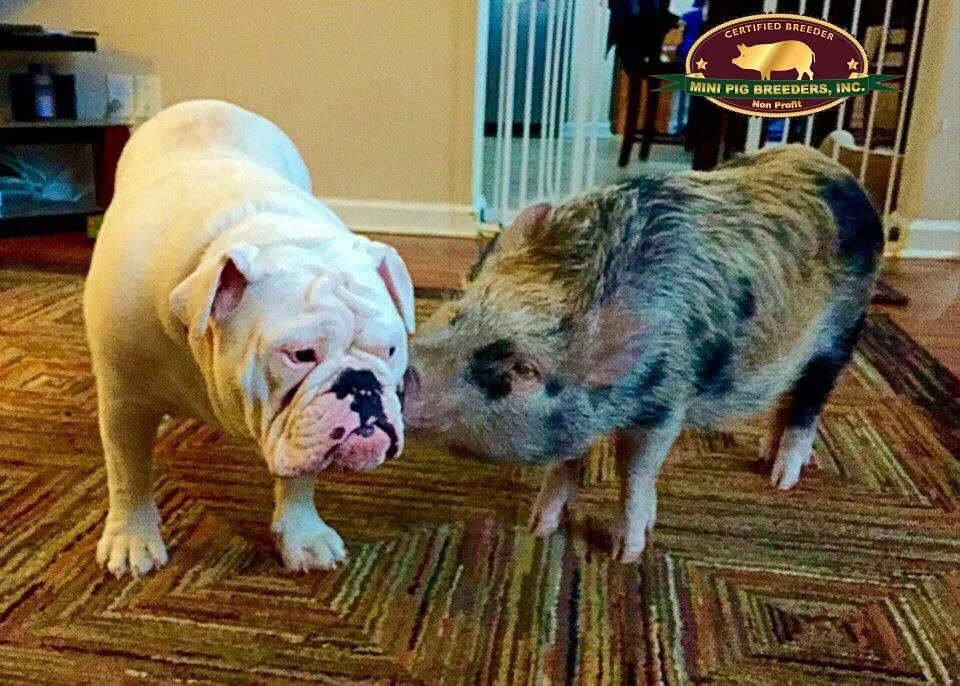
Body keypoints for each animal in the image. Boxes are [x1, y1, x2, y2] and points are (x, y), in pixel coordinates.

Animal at [403, 144, 882, 562]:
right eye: (456, 314)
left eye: (525, 369)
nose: (406, 369)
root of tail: (838, 172)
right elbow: (566, 464)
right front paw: (539, 528)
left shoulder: (668, 402)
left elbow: (635, 473)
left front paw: (626, 554)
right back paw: (767, 453)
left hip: (844, 329)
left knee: (810, 399)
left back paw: (781, 479)